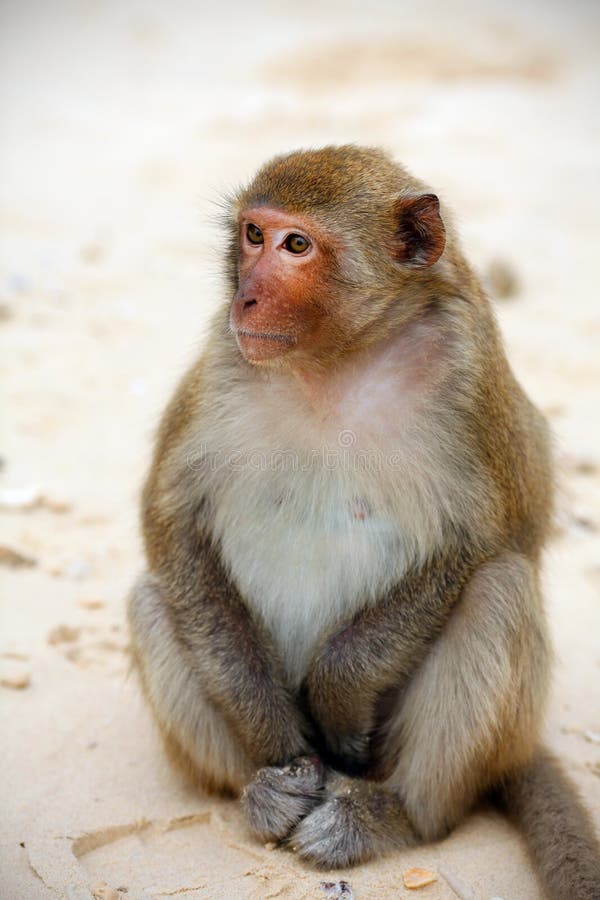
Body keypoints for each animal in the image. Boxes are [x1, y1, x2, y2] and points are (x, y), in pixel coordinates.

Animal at [127, 145, 600, 899]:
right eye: (253, 235)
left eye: (297, 245)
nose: (244, 298)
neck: (338, 359)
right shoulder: (224, 363)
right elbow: (174, 522)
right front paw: (276, 740)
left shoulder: (469, 376)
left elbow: (486, 540)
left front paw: (339, 695)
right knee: (155, 595)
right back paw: (259, 795)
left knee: (499, 589)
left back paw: (393, 816)